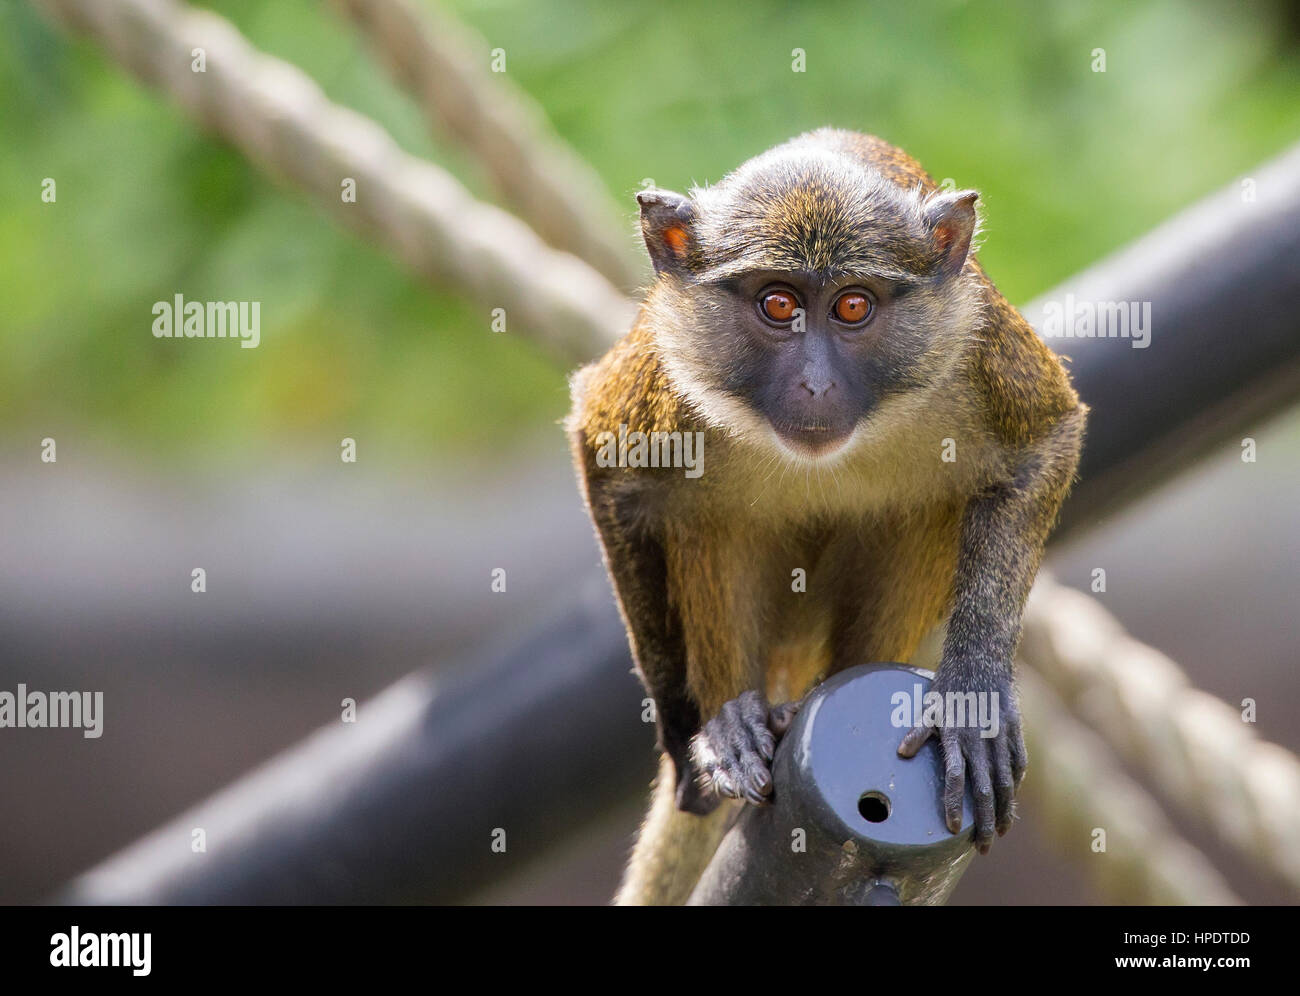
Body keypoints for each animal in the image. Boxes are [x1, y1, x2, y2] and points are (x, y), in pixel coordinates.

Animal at [567, 128, 1086, 905]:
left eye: (852, 308)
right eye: (779, 304)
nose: (815, 384)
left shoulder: (975, 336)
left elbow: (1045, 440)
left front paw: (974, 697)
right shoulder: (659, 365)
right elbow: (610, 467)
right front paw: (692, 739)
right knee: (705, 519)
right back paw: (740, 721)